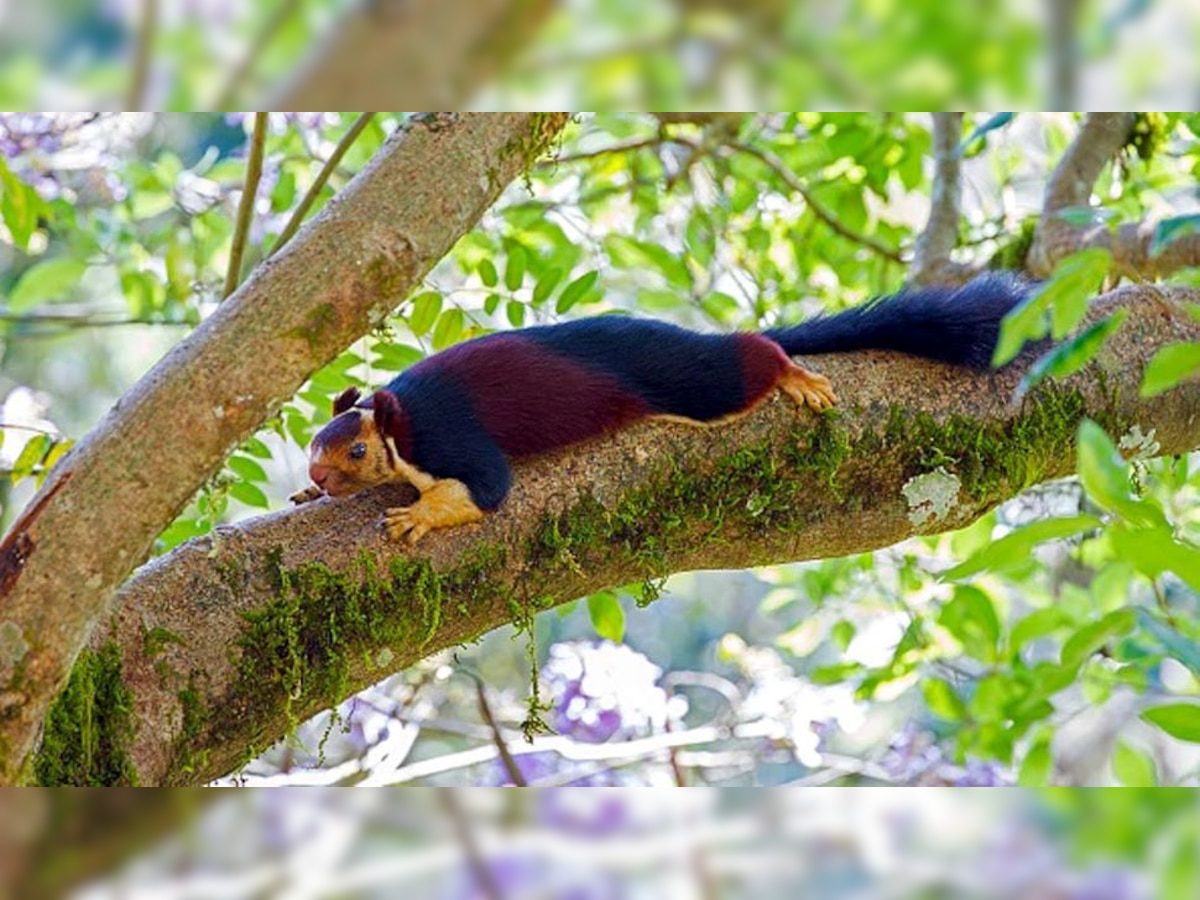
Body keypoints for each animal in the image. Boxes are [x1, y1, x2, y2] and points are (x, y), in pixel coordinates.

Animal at [290, 272, 1031, 543]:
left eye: (357, 449)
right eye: (313, 446)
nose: (321, 475)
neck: (401, 424)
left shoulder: (449, 437)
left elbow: (487, 490)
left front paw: (417, 516)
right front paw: (306, 497)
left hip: (685, 379)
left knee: (738, 362)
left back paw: (790, 371)